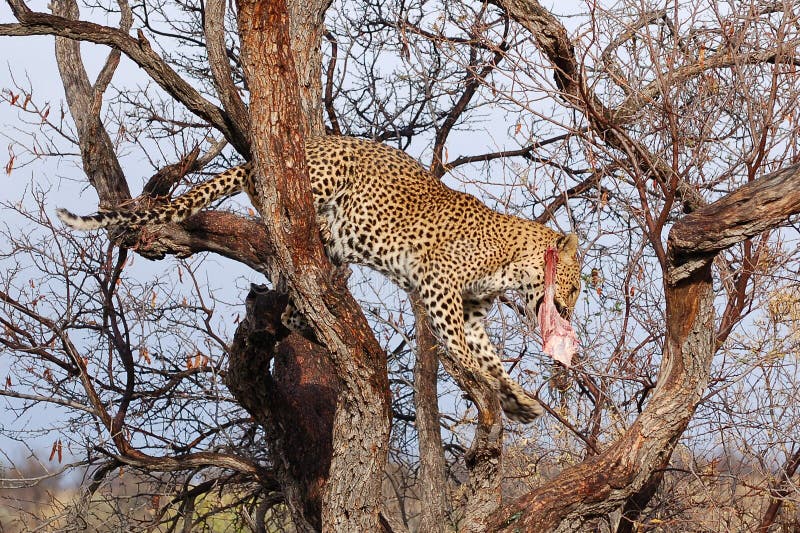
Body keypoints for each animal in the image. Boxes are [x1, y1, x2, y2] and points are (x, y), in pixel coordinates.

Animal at [56, 135, 581, 423]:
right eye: (575, 288)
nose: (569, 310)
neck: (511, 262)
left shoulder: (471, 312)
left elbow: (493, 360)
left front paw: (519, 402)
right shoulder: (439, 288)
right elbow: (466, 352)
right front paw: (482, 378)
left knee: (291, 301)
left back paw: (307, 311)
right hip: (324, 174)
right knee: (275, 206)